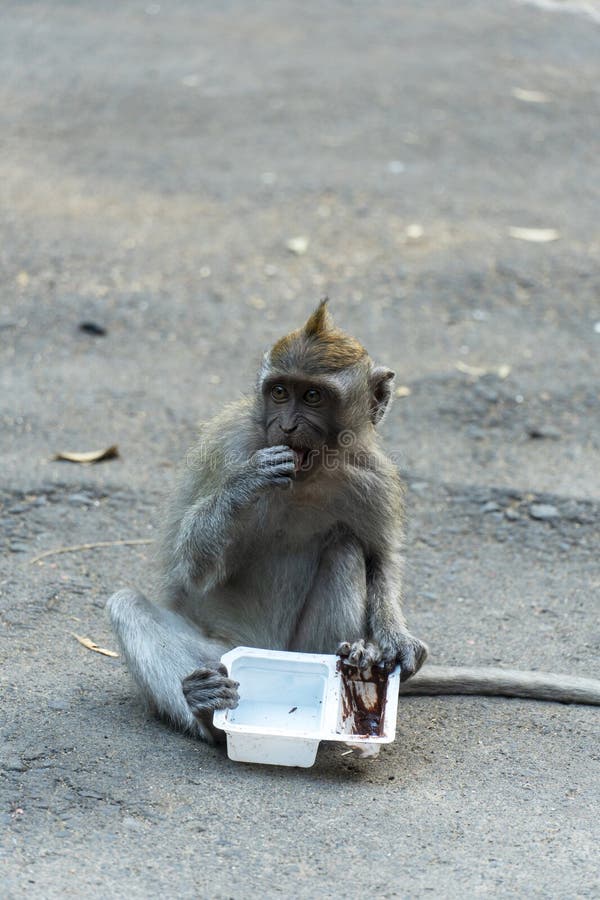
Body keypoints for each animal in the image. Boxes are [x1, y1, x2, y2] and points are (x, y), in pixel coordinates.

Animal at [107, 301, 600, 745]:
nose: (287, 427)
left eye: (312, 396)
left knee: (345, 549)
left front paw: (396, 641)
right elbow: (191, 571)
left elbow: (381, 556)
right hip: (220, 652)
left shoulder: (375, 477)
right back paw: (205, 709)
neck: (311, 473)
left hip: (301, 648)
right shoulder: (225, 448)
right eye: (280, 392)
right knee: (130, 606)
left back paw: (356, 656)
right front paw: (247, 481)